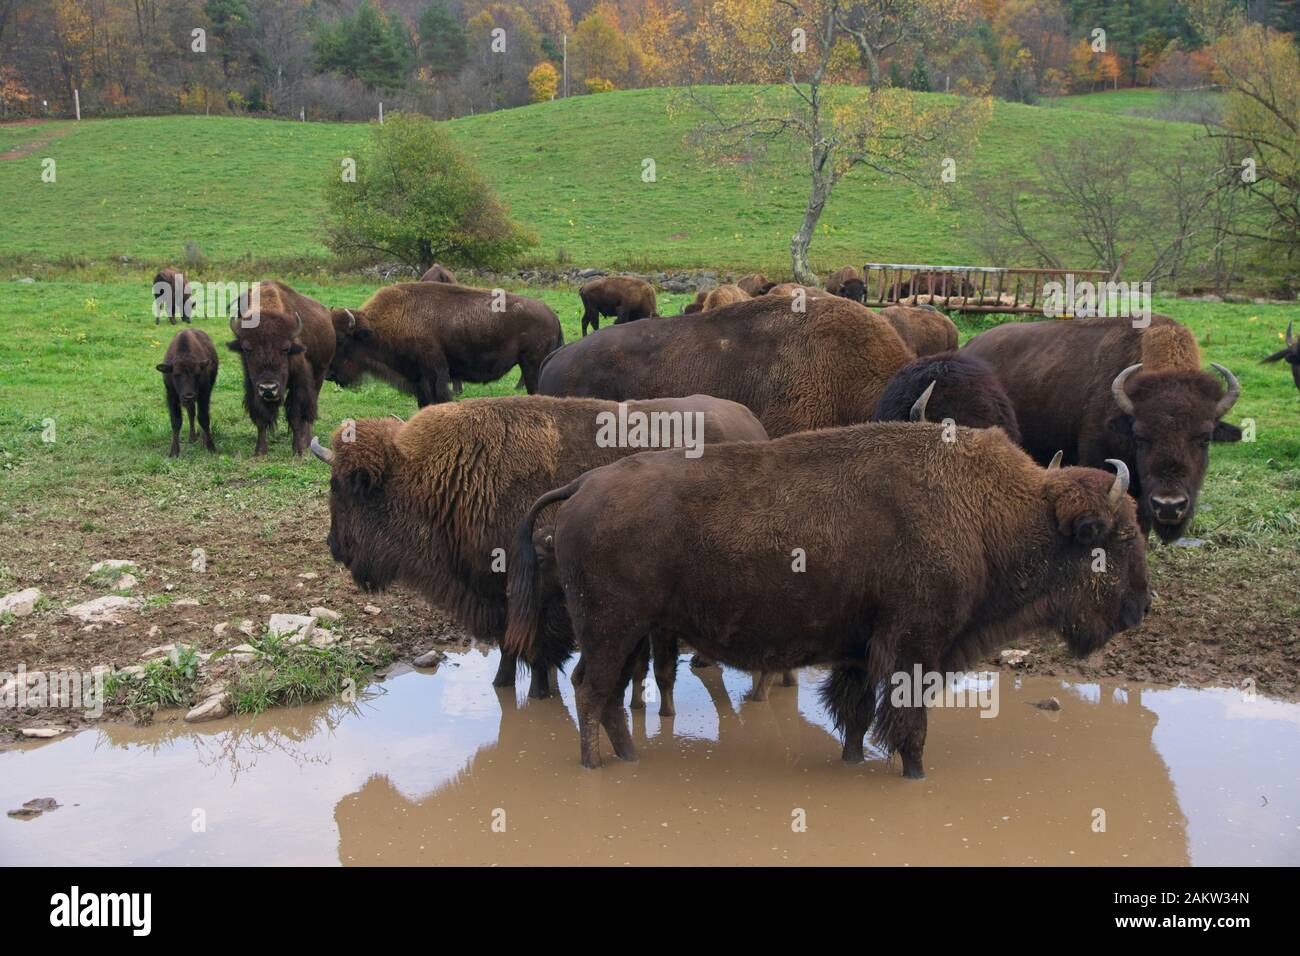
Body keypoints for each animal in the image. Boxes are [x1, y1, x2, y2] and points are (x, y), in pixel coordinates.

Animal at [157, 328, 218, 456]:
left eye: (198, 374)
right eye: (176, 374)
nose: (188, 396)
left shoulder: (204, 394)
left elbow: (204, 418)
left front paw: (211, 447)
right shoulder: (171, 395)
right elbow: (176, 421)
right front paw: (174, 452)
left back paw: (201, 438)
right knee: (191, 412)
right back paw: (192, 438)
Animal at [227, 280, 335, 457]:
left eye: (285, 348)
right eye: (247, 349)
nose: (268, 388)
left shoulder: (299, 383)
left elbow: (296, 415)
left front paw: (298, 450)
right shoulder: (252, 386)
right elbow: (261, 416)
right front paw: (259, 452)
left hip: (319, 375)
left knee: (310, 411)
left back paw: (308, 441)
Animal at [311, 396, 768, 703]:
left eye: (339, 485)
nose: (334, 546)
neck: (439, 477)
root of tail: (753, 426)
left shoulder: (537, 599)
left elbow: (536, 652)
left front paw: (536, 696)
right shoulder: (499, 598)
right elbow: (509, 649)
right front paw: (503, 685)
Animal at [329, 282, 562, 405]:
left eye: (341, 339)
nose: (329, 374)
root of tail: (552, 315)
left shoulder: (434, 374)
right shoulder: (418, 380)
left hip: (532, 366)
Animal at [506, 424, 1148, 773]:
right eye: (1116, 537)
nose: (1140, 607)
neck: (985, 510)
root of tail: (582, 485)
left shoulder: (863, 653)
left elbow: (858, 716)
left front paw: (853, 762)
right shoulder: (915, 649)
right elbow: (909, 725)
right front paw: (913, 775)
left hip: (630, 632)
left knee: (608, 692)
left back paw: (630, 759)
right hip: (612, 628)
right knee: (590, 689)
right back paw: (597, 768)